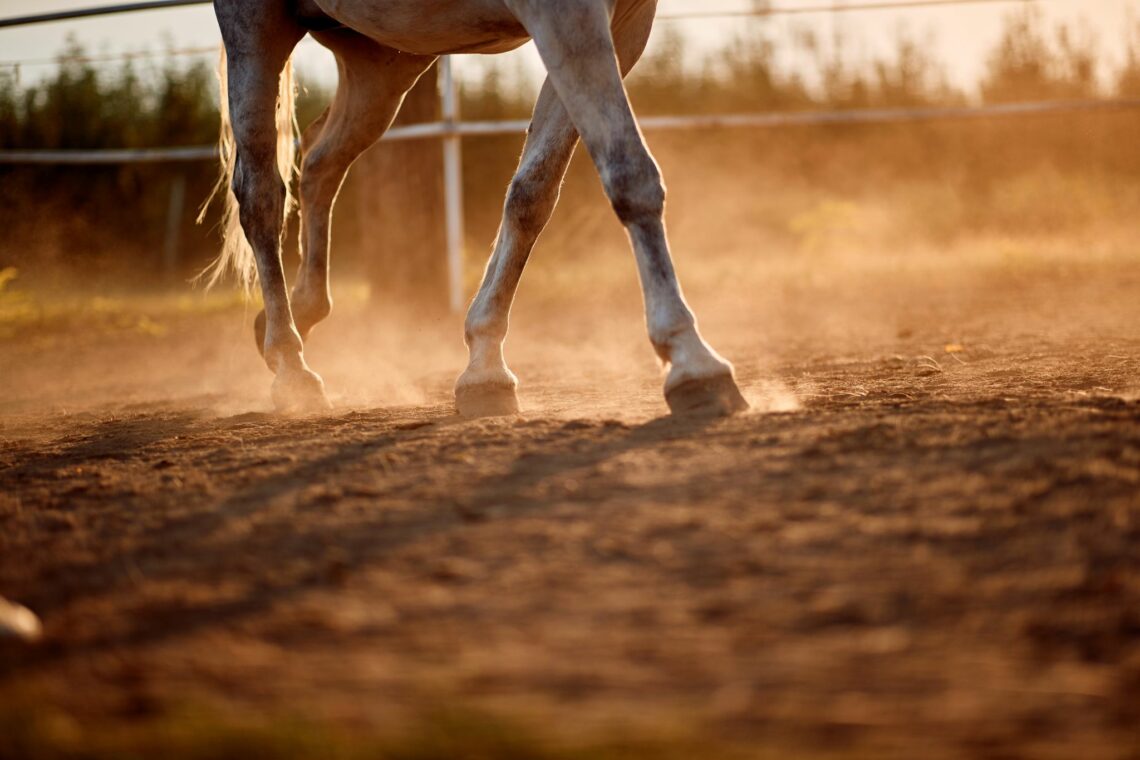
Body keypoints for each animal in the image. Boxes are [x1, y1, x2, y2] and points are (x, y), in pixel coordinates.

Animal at [206, 0, 749, 418]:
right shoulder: (566, 15)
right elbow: (630, 173)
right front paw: (693, 360)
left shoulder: (623, 24)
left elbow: (533, 193)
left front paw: (485, 368)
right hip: (258, 29)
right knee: (261, 195)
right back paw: (290, 366)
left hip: (383, 60)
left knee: (320, 161)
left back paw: (297, 315)